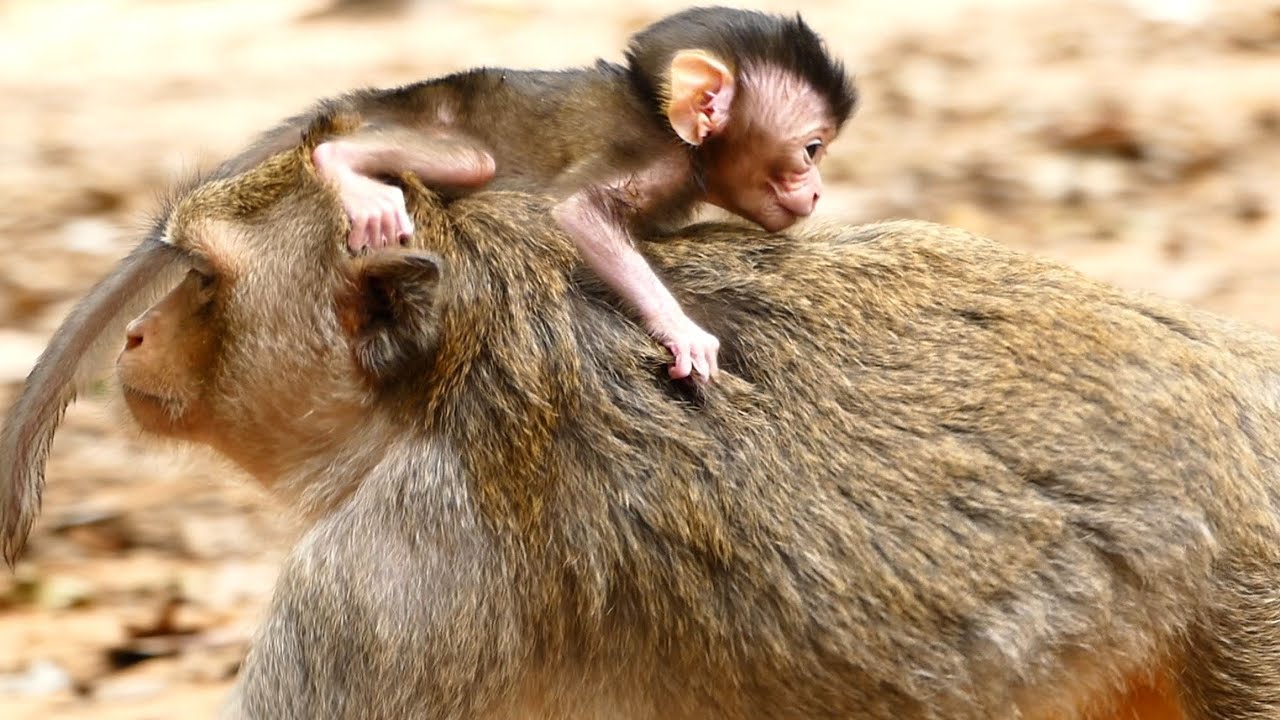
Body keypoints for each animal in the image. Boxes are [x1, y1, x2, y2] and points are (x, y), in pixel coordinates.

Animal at [287, 6, 857, 382]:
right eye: (811, 149)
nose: (817, 192)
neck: (668, 126)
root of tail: (379, 100)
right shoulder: (658, 159)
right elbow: (577, 213)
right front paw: (683, 331)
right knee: (471, 163)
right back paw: (339, 164)